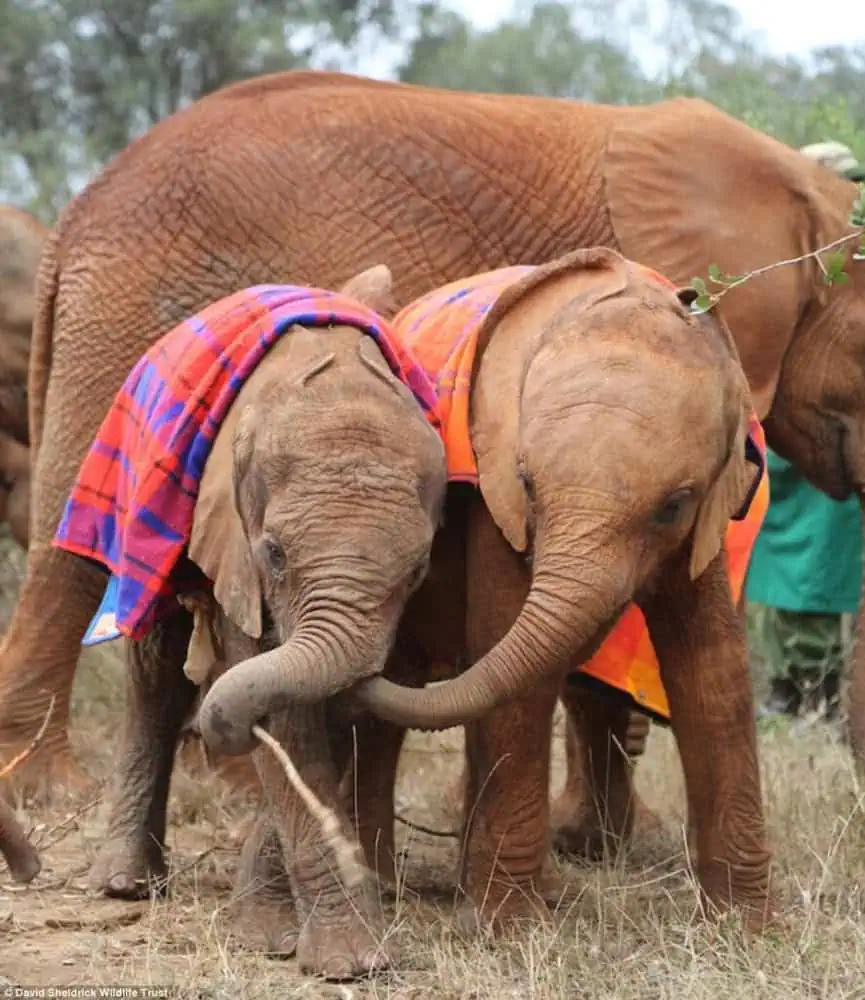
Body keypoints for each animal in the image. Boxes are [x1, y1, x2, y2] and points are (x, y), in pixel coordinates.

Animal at [0, 71, 861, 863]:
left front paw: (603, 844)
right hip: (132, 313)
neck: (796, 188)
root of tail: (75, 216)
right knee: (76, 558)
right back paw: (57, 789)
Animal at [63, 265, 447, 978]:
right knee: (156, 671)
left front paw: (278, 936)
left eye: (418, 572)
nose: (216, 730)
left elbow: (316, 708)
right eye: (274, 554)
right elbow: (282, 705)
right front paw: (344, 962)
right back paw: (124, 885)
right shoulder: (233, 538)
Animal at [194, 247, 773, 934]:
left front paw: (750, 925)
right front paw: (510, 929)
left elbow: (712, 672)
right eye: (525, 482)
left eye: (674, 506)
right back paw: (395, 887)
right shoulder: (492, 497)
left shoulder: (712, 516)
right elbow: (512, 663)